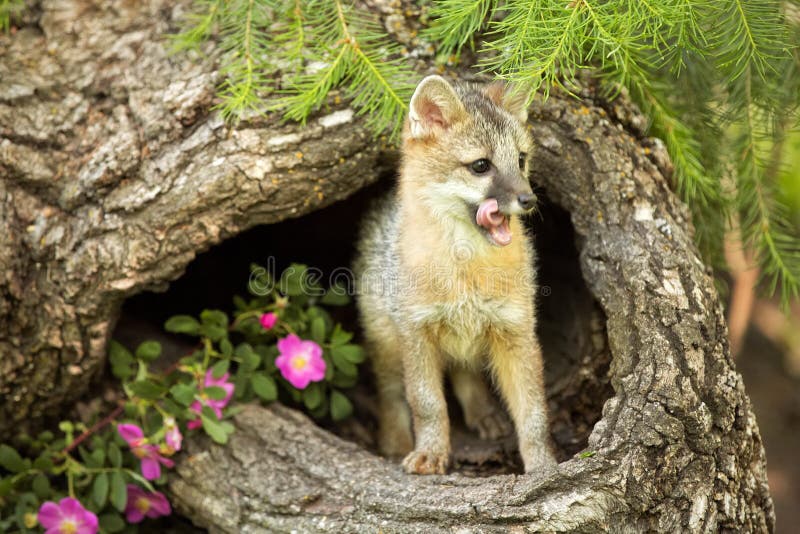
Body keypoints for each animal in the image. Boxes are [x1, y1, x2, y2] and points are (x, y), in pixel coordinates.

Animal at [353, 75, 556, 475]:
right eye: (480, 166)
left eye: (521, 160)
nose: (529, 200)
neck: (466, 273)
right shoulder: (416, 332)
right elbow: (427, 404)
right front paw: (430, 452)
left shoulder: (517, 331)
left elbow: (534, 414)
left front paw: (544, 466)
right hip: (387, 341)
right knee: (390, 393)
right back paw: (395, 439)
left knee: (465, 373)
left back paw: (482, 413)